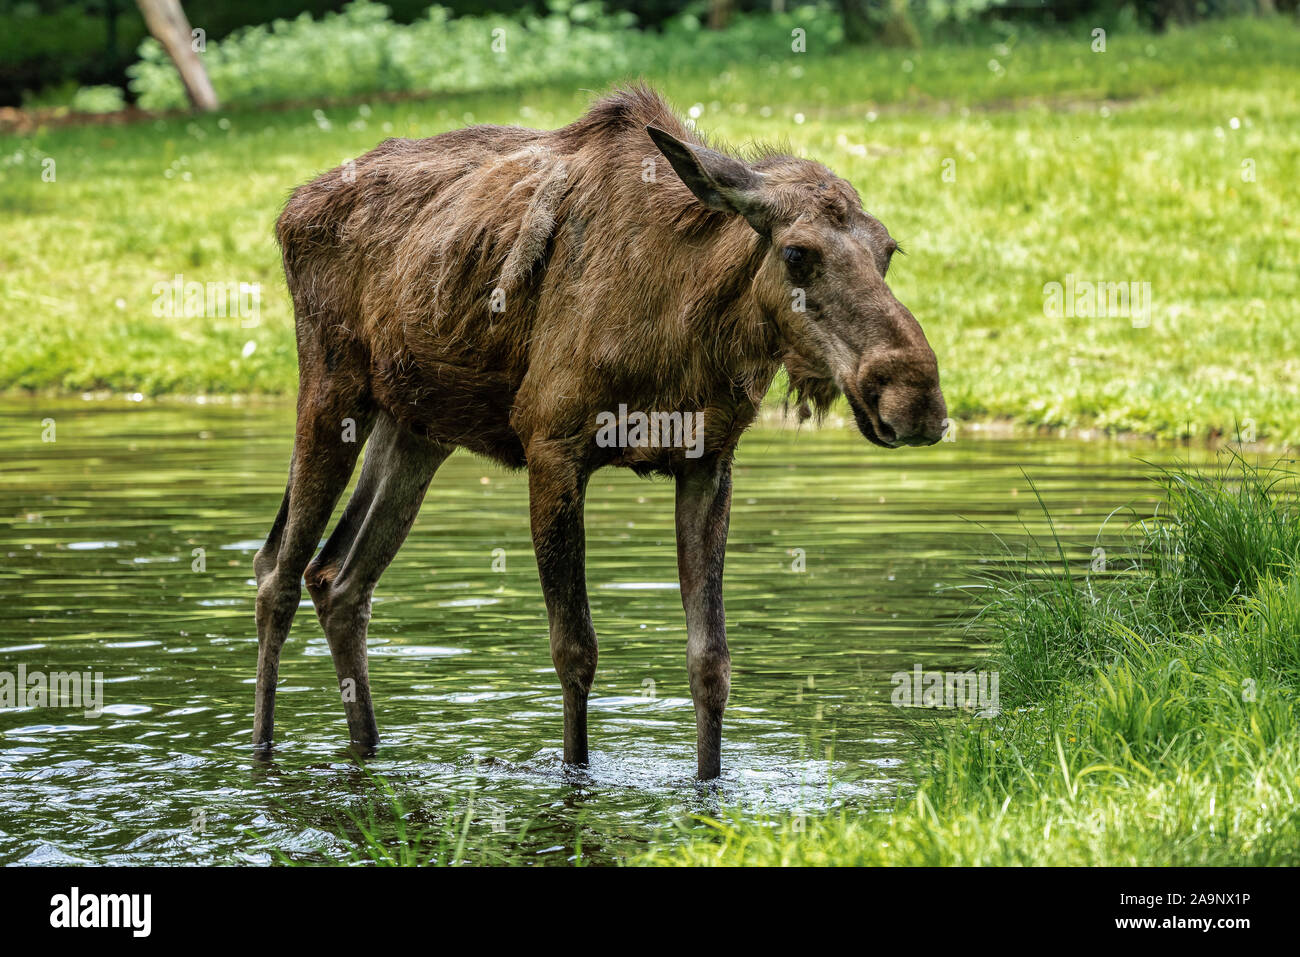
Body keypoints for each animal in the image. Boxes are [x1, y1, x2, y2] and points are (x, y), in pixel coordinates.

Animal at [253, 85, 946, 779]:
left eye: (888, 251)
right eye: (797, 252)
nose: (916, 398)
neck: (685, 324)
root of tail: (289, 208)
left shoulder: (708, 460)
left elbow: (710, 663)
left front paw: (708, 782)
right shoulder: (552, 447)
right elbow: (575, 652)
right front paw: (576, 777)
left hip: (417, 425)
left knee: (339, 579)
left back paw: (367, 750)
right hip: (331, 388)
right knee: (277, 572)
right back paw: (262, 755)